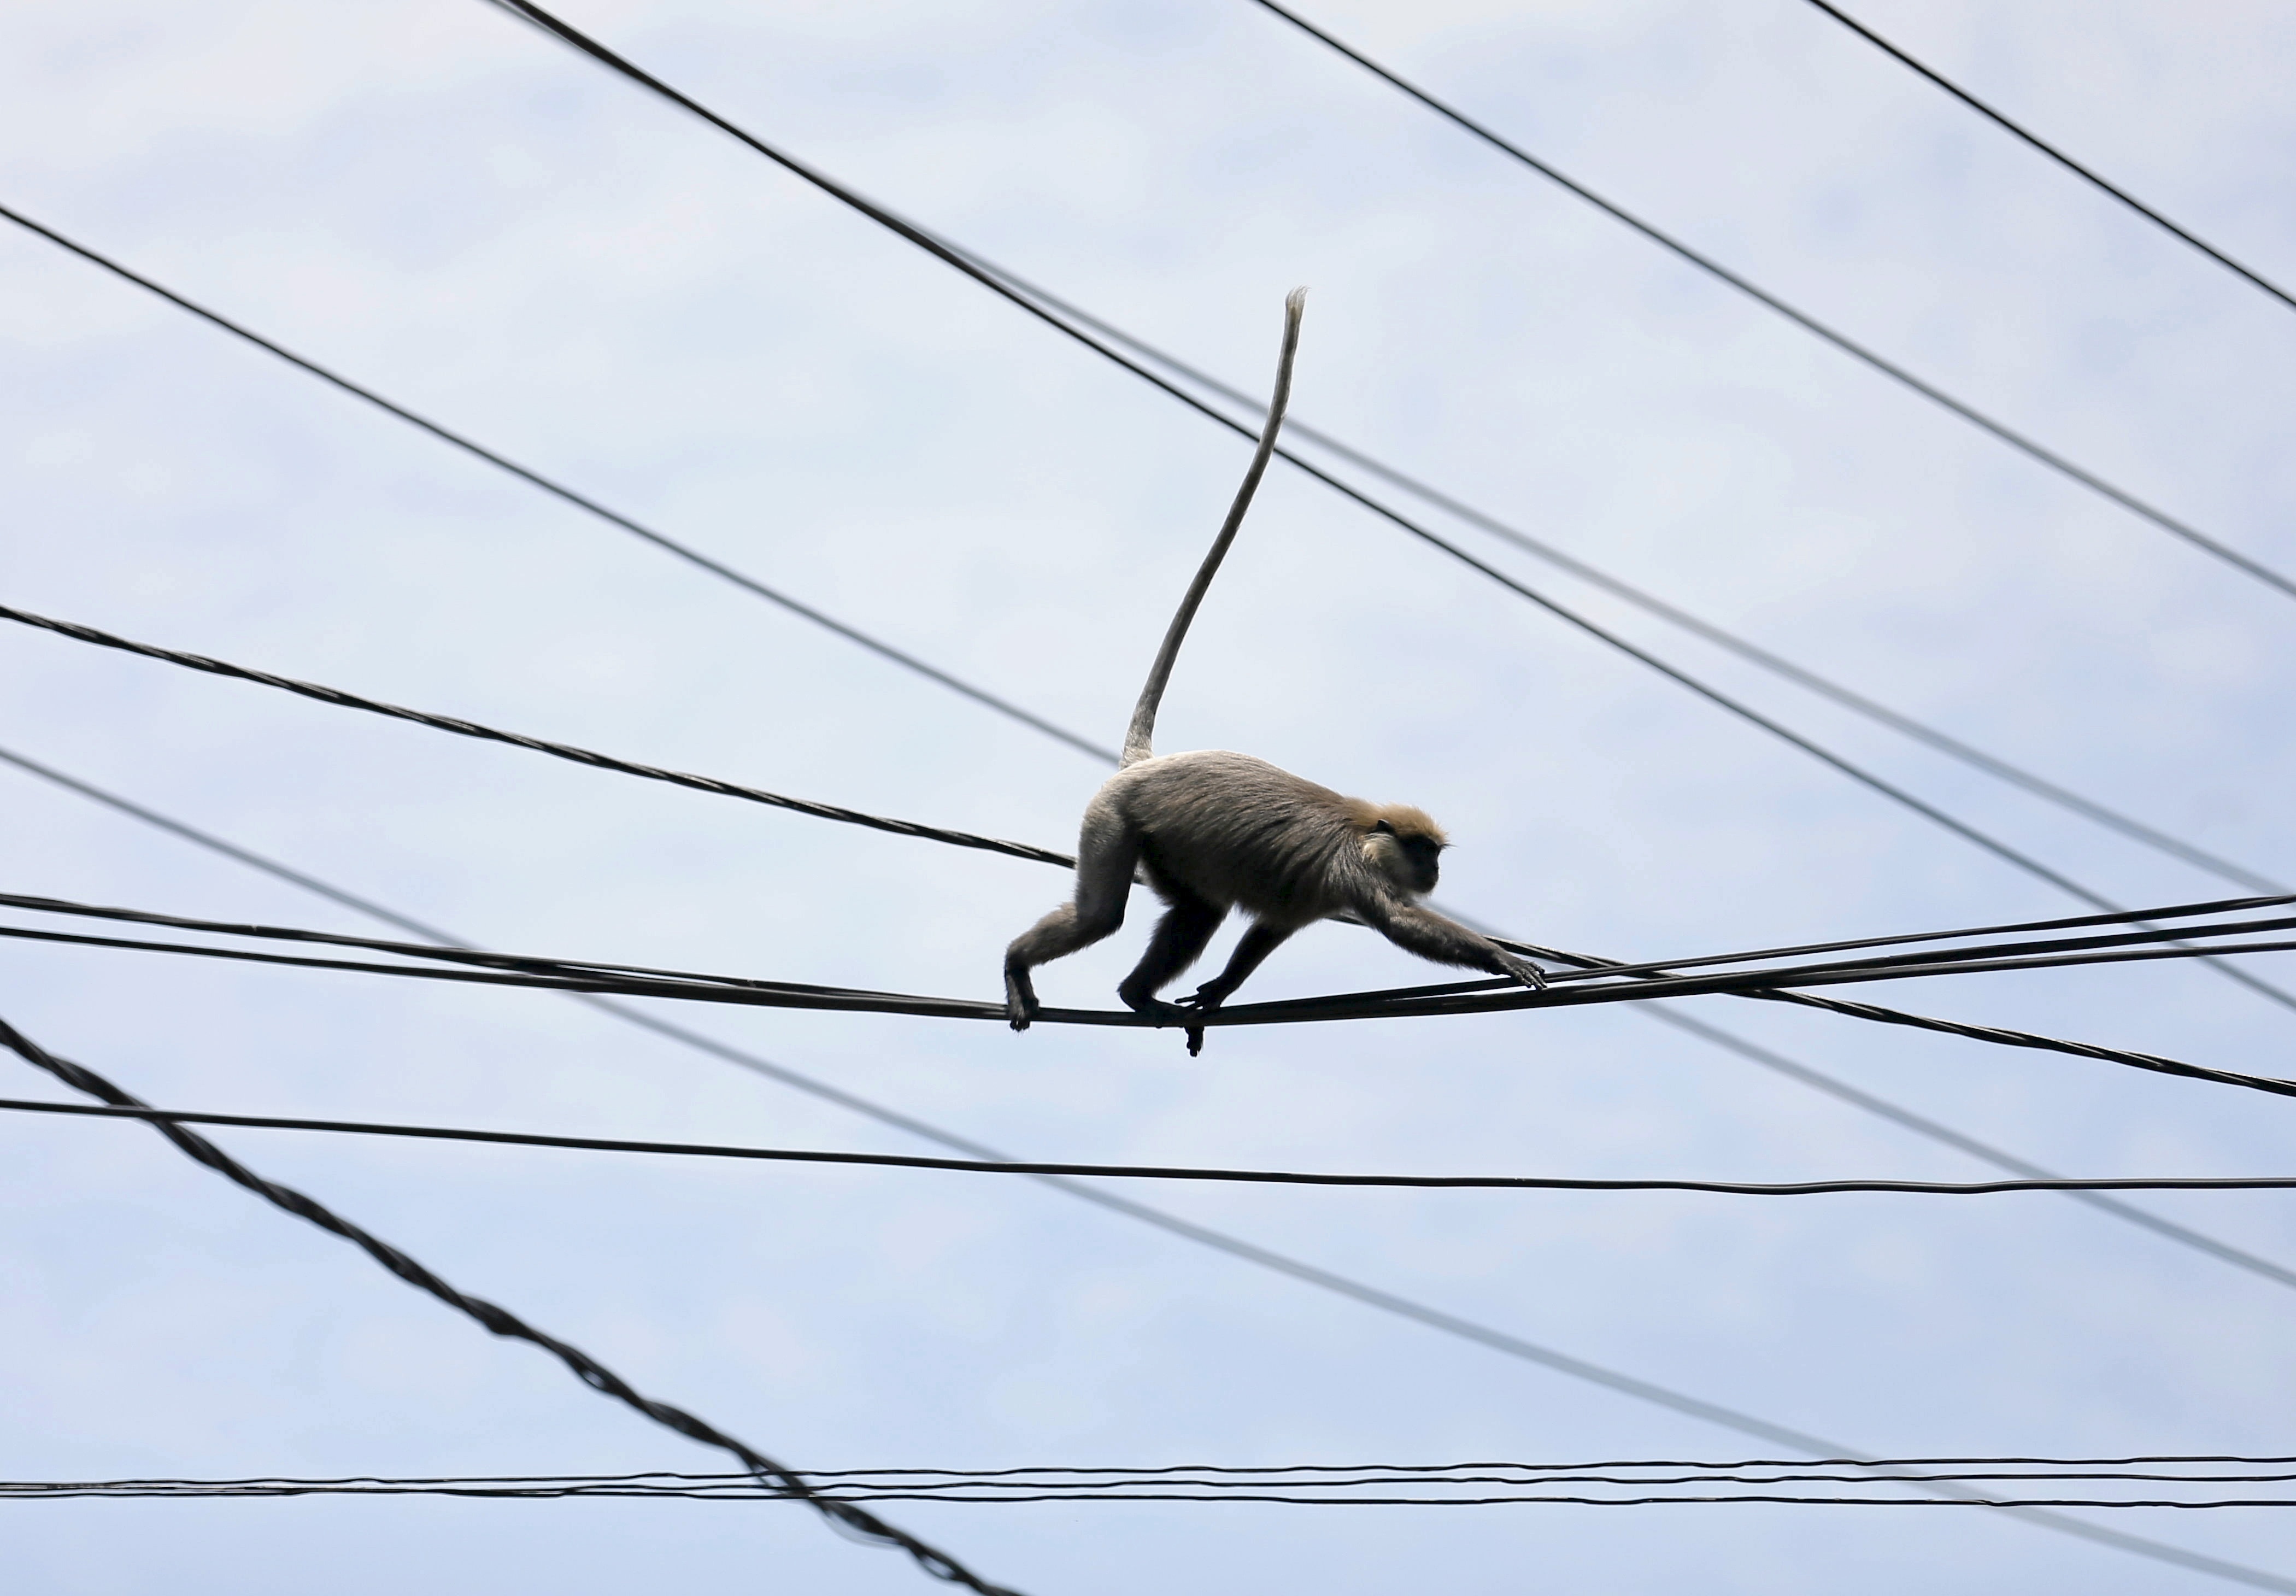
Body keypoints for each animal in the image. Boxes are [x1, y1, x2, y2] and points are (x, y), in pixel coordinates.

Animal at [1002, 288, 1547, 1051]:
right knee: (1101, 915)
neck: (1366, 832)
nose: (1433, 870)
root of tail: (1148, 763)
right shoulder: (1354, 871)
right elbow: (1400, 922)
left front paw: (1218, 992)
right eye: (1423, 852)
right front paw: (1499, 957)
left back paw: (1137, 995)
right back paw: (1019, 964)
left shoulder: (1313, 894)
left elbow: (1268, 930)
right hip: (1112, 817)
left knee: (1194, 910)